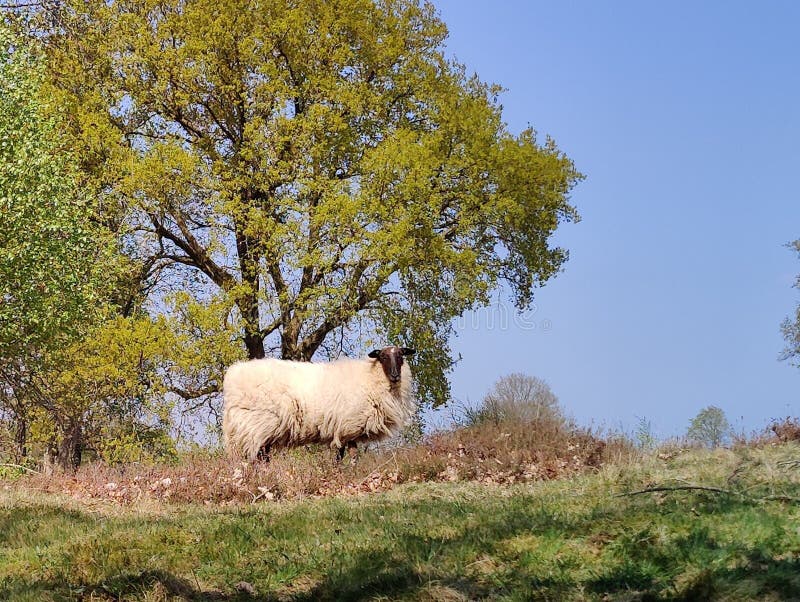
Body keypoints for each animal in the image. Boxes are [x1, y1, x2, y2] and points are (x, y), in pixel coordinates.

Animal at [222, 346, 416, 461]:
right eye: (383, 356)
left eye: (401, 355)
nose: (395, 376)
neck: (369, 377)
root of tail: (232, 375)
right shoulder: (348, 426)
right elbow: (345, 455)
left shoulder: (346, 429)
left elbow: (347, 455)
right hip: (257, 425)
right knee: (256, 457)